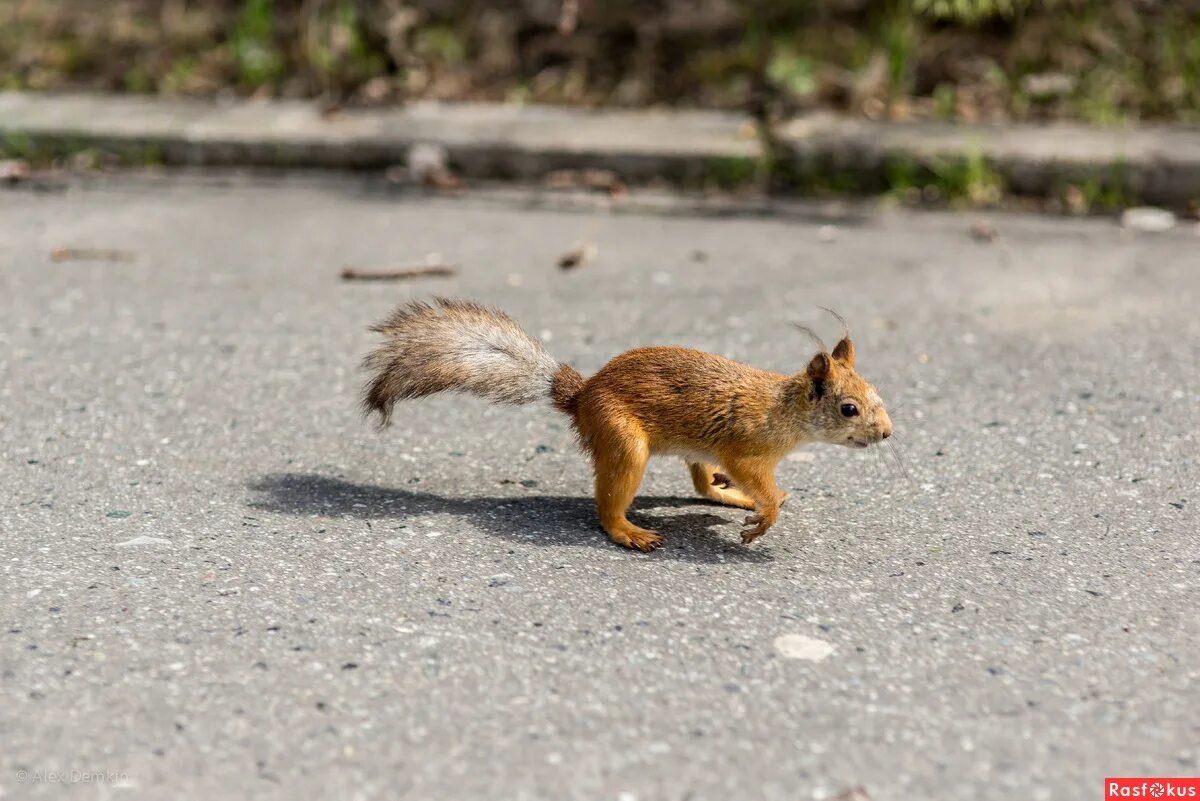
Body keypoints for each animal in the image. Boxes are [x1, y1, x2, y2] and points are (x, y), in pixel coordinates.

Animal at [360, 296, 897, 551]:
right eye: (849, 409)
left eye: (877, 393)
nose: (887, 432)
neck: (784, 412)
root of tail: (581, 396)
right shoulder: (745, 447)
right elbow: (758, 482)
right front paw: (764, 515)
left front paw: (755, 503)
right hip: (621, 438)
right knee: (606, 505)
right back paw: (629, 531)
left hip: (691, 446)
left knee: (701, 484)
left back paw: (726, 495)